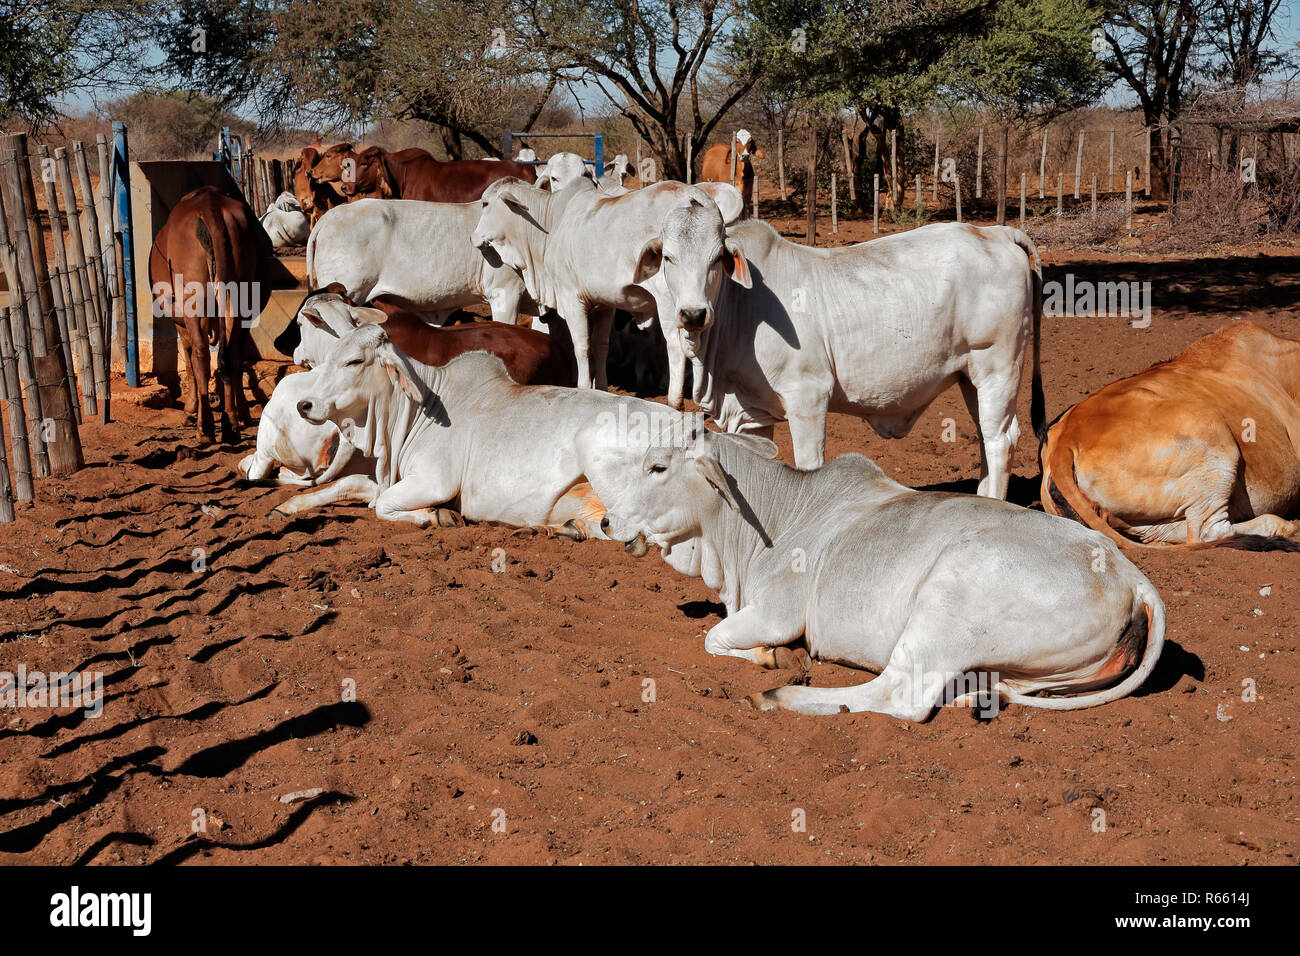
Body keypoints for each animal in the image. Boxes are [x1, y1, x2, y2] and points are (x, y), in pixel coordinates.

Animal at [148, 185, 266, 444]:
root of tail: (209, 205)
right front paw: (242, 413)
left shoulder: (180, 322)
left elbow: (189, 358)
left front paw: (190, 411)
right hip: (239, 298)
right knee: (232, 353)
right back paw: (231, 424)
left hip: (195, 301)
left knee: (201, 355)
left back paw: (206, 428)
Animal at [278, 324, 694, 536]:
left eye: (353, 361)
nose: (304, 405)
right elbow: (349, 485)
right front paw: (286, 507)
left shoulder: (434, 481)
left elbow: (382, 506)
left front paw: (437, 516)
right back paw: (568, 528)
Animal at [472, 177, 749, 396]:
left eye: (485, 203)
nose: (473, 237)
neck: (552, 224)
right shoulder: (604, 304)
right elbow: (600, 346)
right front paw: (603, 388)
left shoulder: (571, 298)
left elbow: (582, 347)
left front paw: (584, 388)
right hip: (704, 302)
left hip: (674, 305)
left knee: (676, 347)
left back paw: (675, 399)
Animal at [597, 422, 1165, 721]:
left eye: (658, 466)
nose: (605, 520)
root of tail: (1129, 575)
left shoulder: (776, 613)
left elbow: (714, 639)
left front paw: (773, 660)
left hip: (947, 604)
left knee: (900, 695)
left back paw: (782, 696)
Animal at [650, 218, 1044, 499]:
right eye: (668, 257)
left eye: (717, 258)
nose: (693, 313)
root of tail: (996, 232)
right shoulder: (749, 413)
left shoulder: (808, 395)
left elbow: (809, 466)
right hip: (969, 377)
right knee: (984, 437)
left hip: (998, 368)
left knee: (1000, 440)